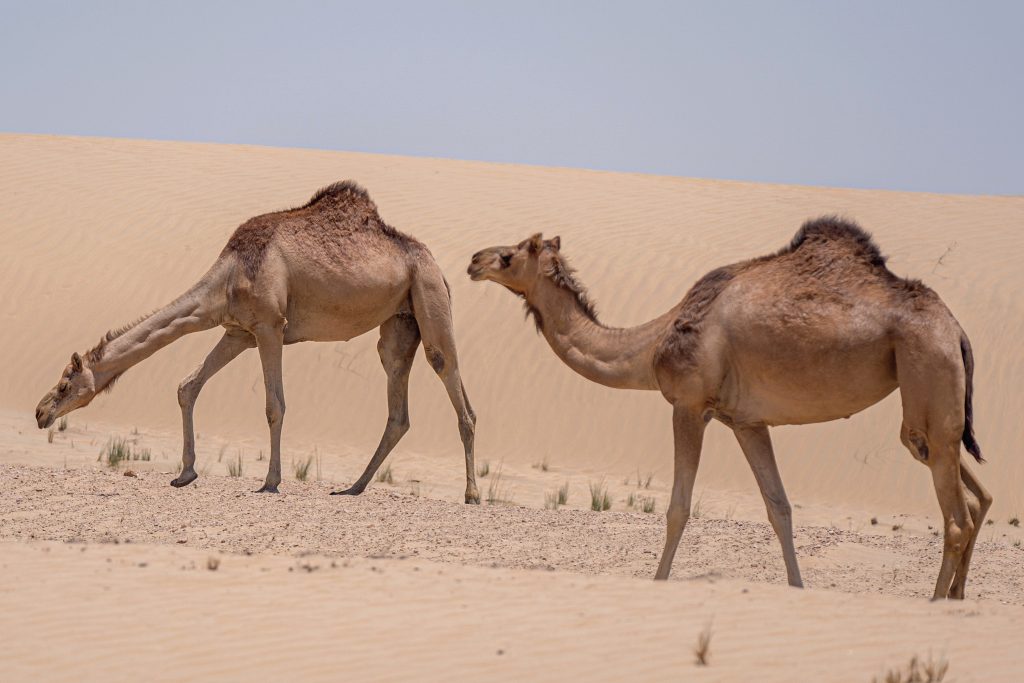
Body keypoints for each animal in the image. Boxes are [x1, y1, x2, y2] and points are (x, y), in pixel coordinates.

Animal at [36, 181, 480, 503]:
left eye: (64, 384)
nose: (41, 412)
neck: (228, 277)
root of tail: (436, 264)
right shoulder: (238, 332)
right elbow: (188, 385)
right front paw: (184, 474)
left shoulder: (270, 326)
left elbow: (274, 405)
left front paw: (270, 481)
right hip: (399, 322)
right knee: (397, 401)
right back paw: (353, 487)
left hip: (428, 293)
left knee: (451, 379)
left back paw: (472, 494)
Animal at [468, 219, 989, 599]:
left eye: (510, 254)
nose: (474, 259)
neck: (651, 344)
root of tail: (958, 330)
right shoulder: (746, 421)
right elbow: (779, 508)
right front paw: (797, 588)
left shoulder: (688, 404)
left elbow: (678, 507)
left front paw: (658, 582)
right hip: (934, 405)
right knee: (972, 495)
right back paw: (957, 597)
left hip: (927, 369)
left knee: (956, 516)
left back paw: (935, 602)